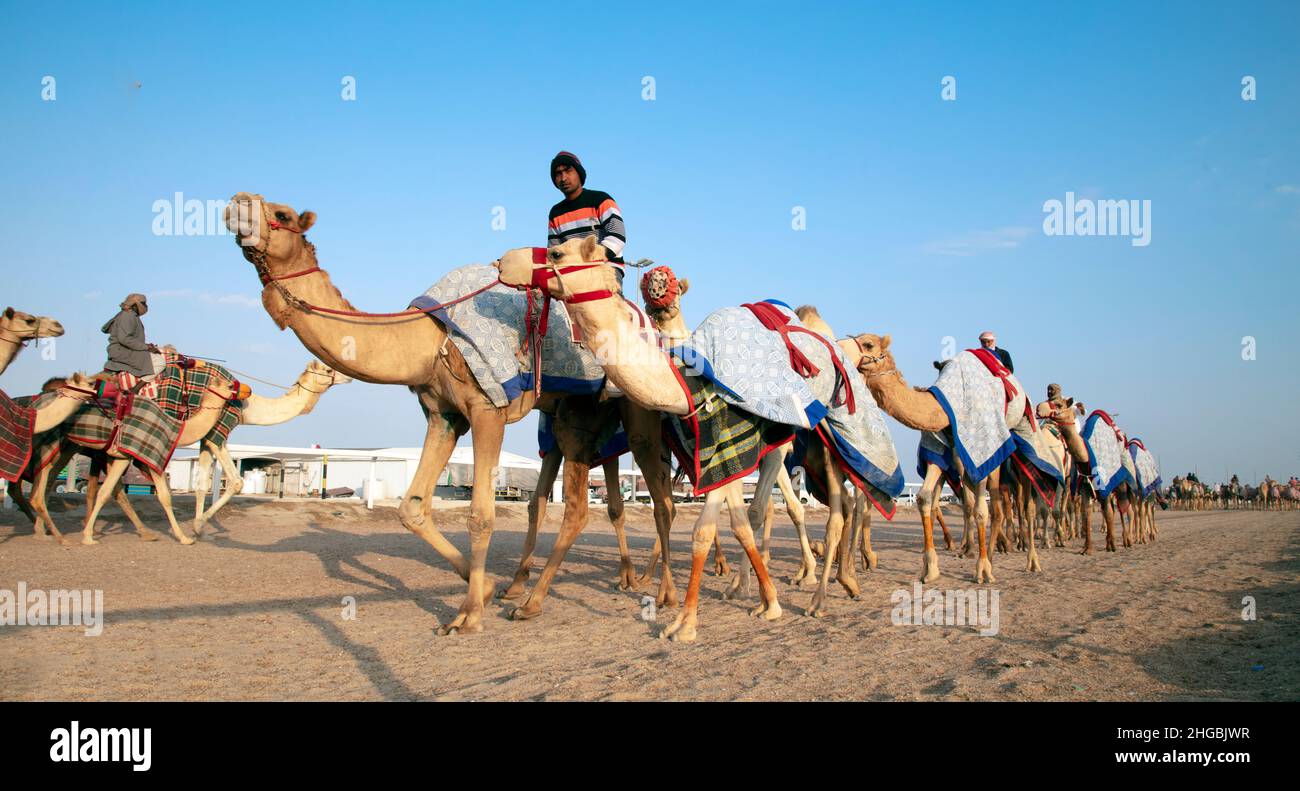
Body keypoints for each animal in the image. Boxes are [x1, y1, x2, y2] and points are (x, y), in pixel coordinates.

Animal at [191, 360, 352, 535]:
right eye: (328, 369)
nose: (348, 376)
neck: (246, 408)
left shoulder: (206, 435)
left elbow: (201, 484)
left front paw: (196, 528)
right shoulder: (216, 430)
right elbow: (235, 482)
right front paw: (198, 525)